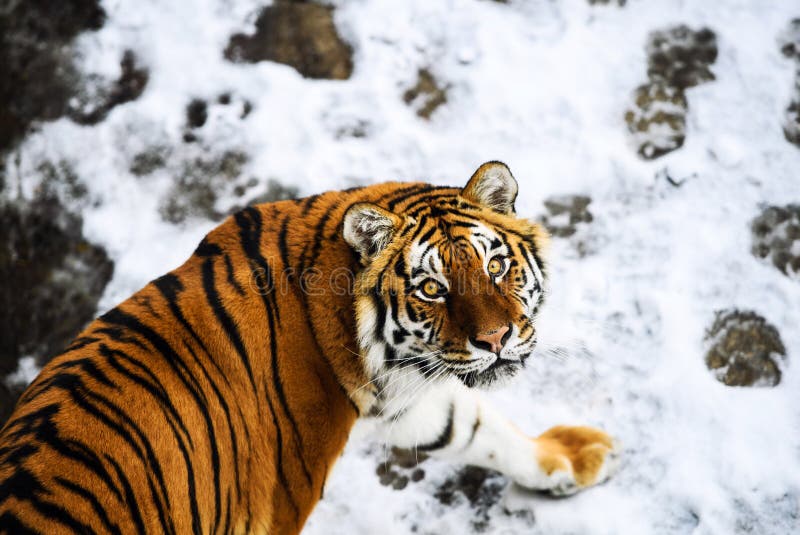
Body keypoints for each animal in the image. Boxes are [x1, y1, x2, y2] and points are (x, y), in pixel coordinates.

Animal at [0, 161, 619, 534]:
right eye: (432, 288)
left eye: (495, 266)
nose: (494, 340)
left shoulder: (409, 395)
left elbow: (471, 426)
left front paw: (572, 460)